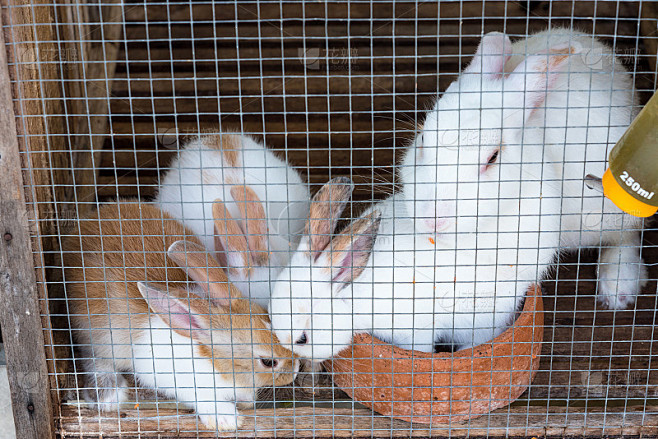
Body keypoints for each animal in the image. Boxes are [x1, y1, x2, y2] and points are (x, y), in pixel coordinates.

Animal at [62, 201, 299, 430]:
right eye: (268, 362)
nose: (296, 370)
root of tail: (80, 230)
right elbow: (201, 398)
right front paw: (226, 419)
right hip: (96, 333)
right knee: (93, 358)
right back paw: (109, 395)